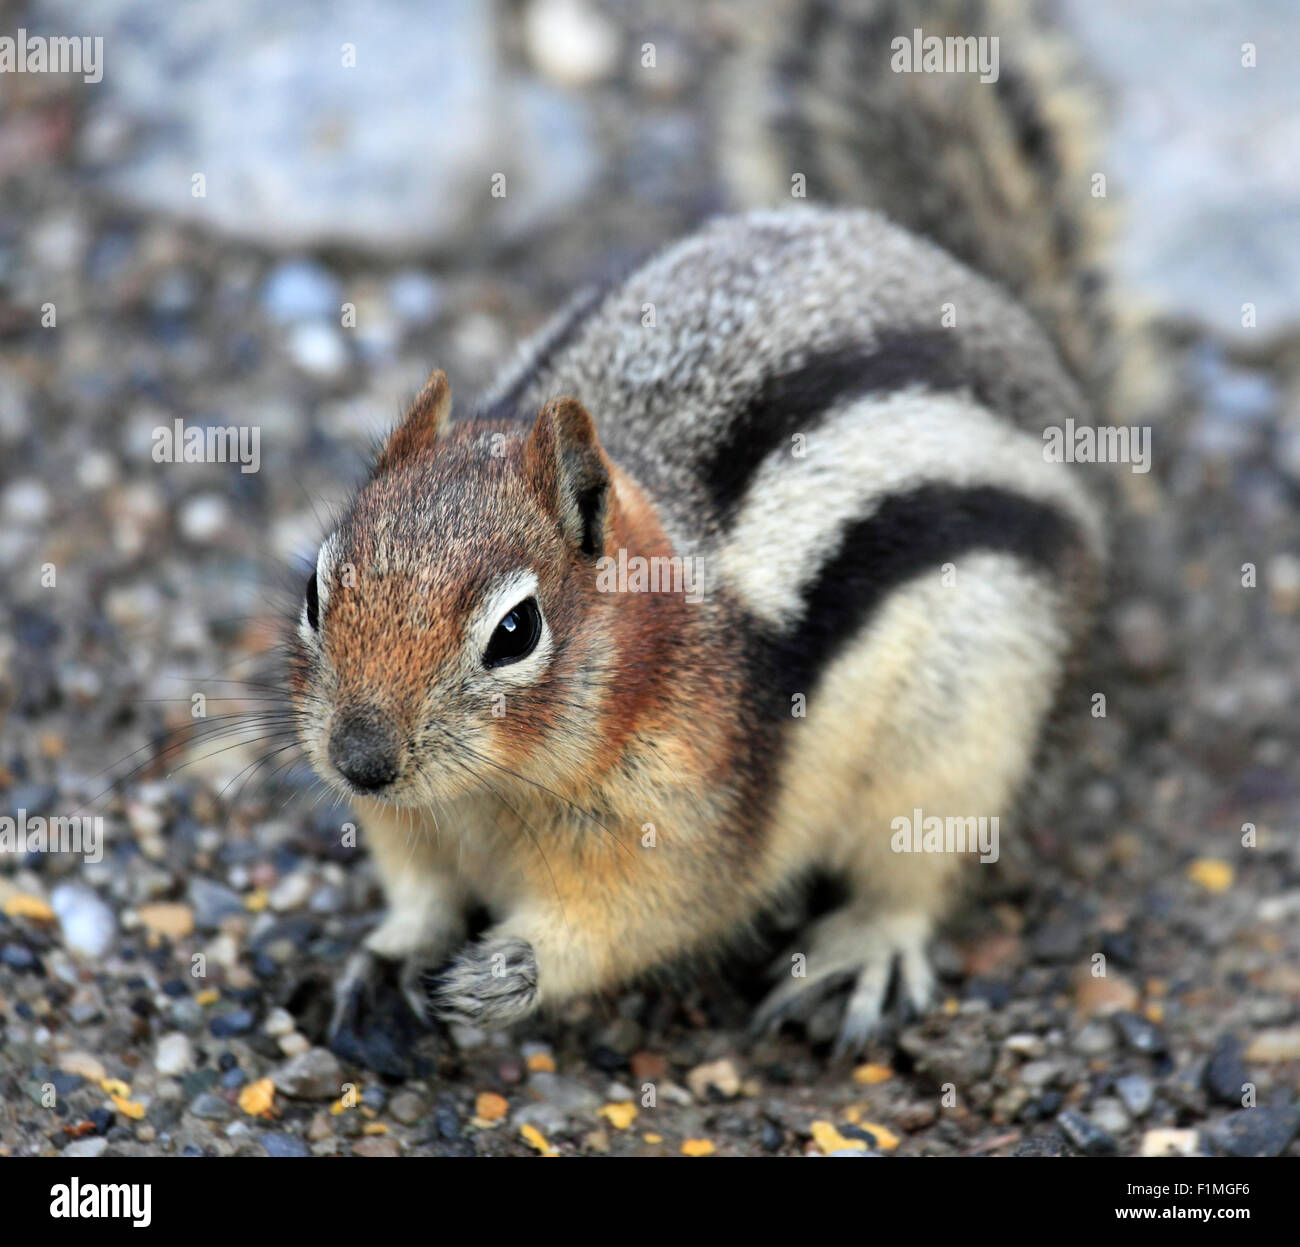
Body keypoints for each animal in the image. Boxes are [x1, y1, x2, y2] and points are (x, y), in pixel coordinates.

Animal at [288, 0, 1113, 1055]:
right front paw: (396, 949)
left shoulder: (684, 821)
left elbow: (638, 918)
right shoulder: (412, 825)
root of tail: (1012, 324)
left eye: (516, 631)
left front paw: (509, 972)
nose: (360, 759)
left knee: (913, 875)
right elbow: (420, 888)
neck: (491, 793)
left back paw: (863, 953)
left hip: (959, 737)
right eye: (316, 590)